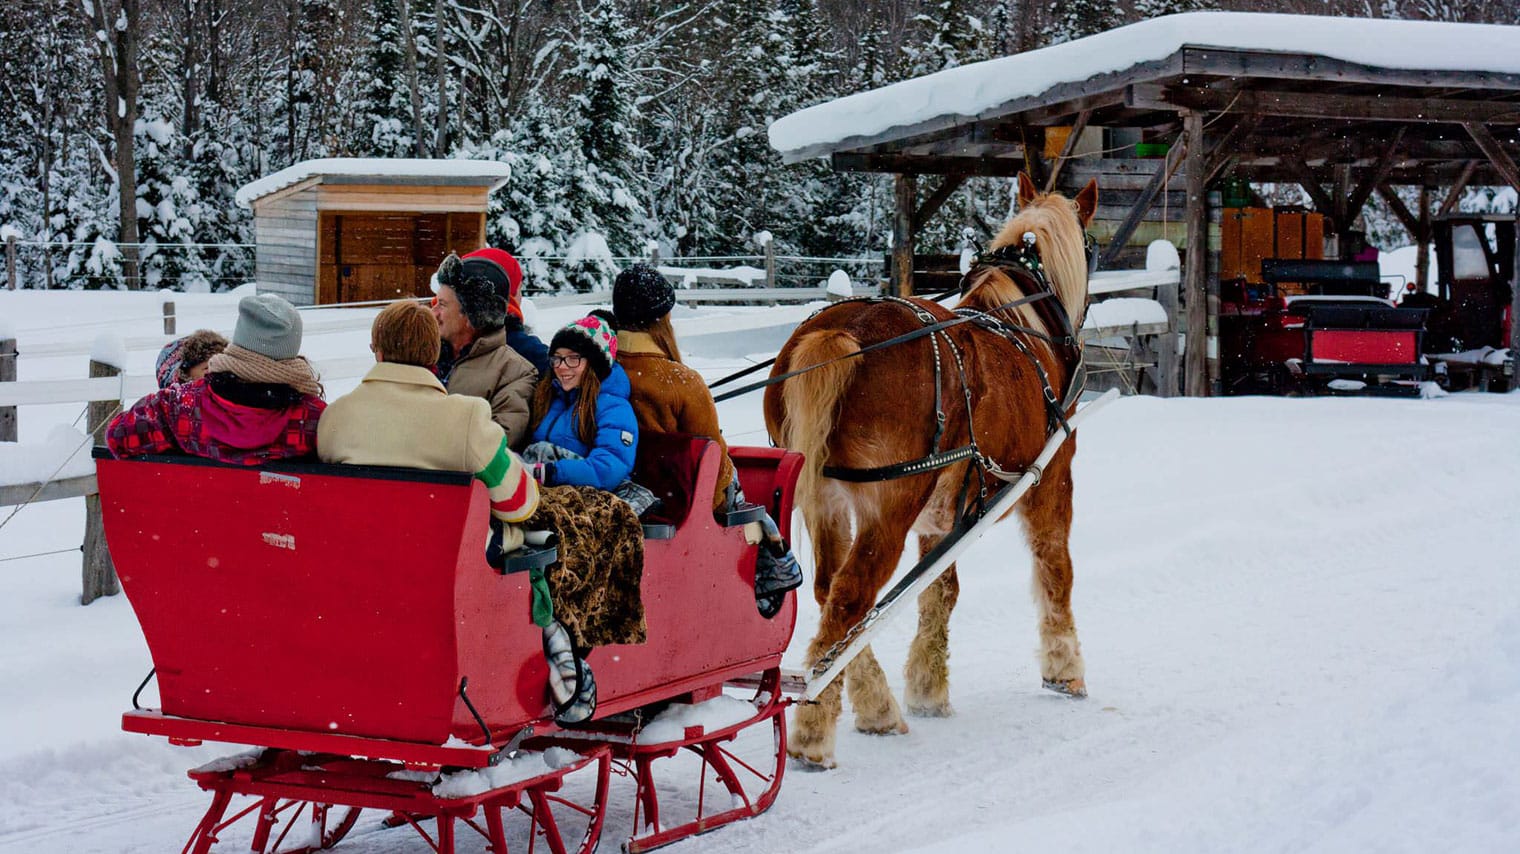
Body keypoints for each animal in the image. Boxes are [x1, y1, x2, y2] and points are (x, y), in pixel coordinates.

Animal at [762, 172, 1098, 769]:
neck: (1029, 322)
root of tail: (839, 333)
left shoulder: (944, 517)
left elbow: (939, 592)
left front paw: (927, 688)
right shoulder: (1051, 478)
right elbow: (1056, 567)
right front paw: (1065, 671)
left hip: (825, 499)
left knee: (832, 594)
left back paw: (874, 704)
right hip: (889, 509)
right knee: (851, 598)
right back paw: (814, 734)